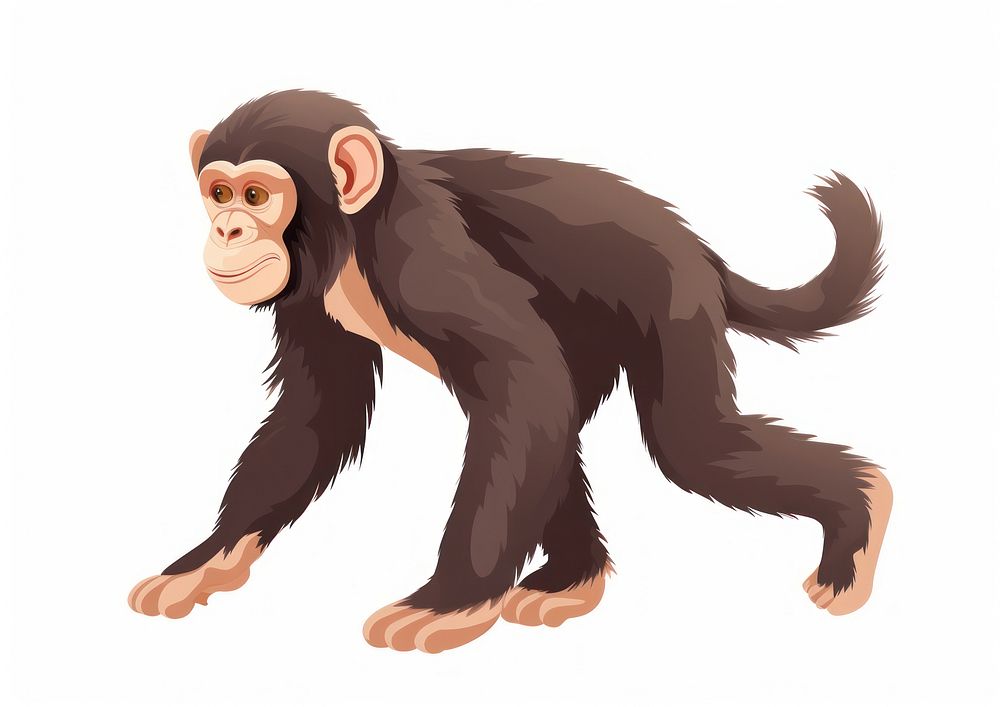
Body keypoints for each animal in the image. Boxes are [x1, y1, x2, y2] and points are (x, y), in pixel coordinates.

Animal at [127, 90, 892, 654]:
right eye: (217, 192)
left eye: (256, 196)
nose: (227, 229)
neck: (353, 230)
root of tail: (698, 248)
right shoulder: (310, 305)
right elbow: (316, 416)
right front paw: (206, 559)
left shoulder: (422, 254)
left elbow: (521, 380)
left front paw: (446, 602)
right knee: (559, 423)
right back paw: (570, 581)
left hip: (674, 306)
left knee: (686, 442)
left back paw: (856, 521)